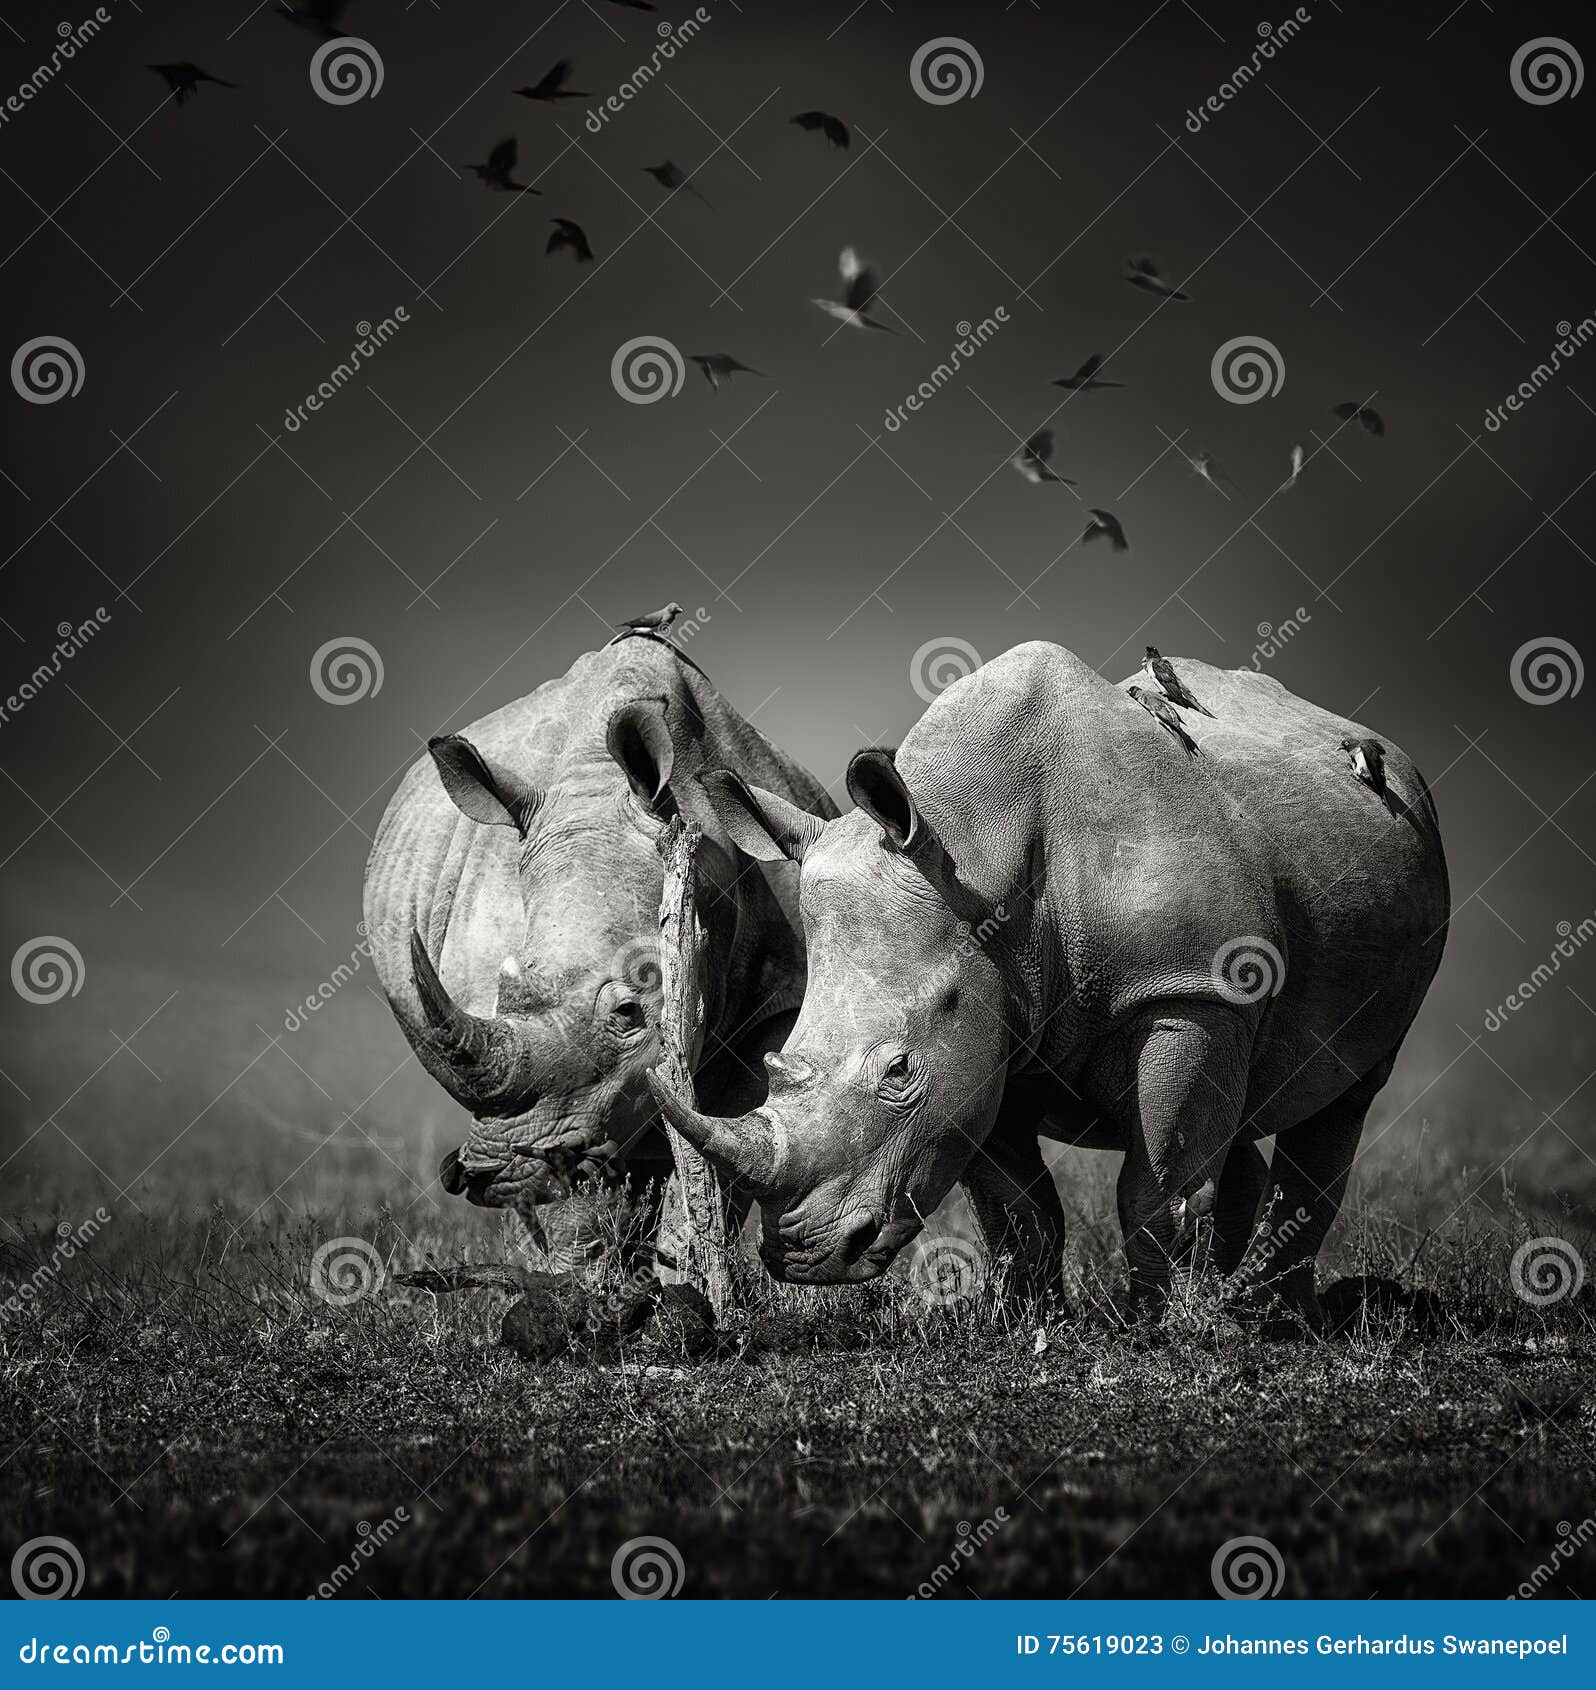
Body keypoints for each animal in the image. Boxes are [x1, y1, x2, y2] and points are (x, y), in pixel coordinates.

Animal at [363, 633, 836, 1246]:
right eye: (502, 993)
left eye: (630, 1012)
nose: (495, 1171)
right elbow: (581, 1194)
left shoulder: (783, 994)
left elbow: (729, 1134)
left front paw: (689, 1254)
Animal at [650, 641, 1450, 1321]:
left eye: (899, 1071)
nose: (801, 1256)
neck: (973, 851)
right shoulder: (990, 1017)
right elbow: (1018, 1205)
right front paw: (1028, 1323)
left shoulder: (1192, 990)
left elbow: (1155, 1186)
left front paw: (1159, 1333)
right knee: (1240, 1115)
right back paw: (1239, 1303)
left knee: (1344, 1100)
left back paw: (1272, 1320)